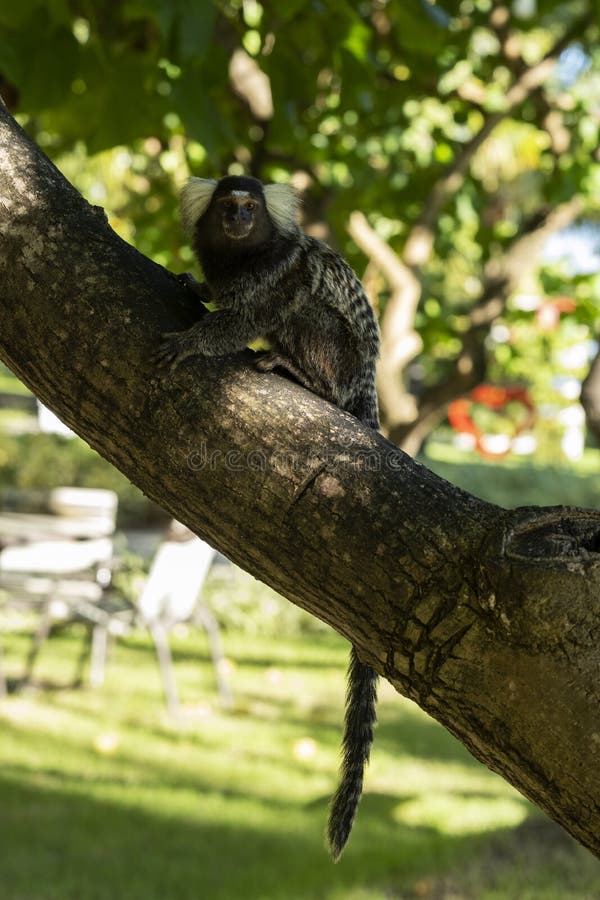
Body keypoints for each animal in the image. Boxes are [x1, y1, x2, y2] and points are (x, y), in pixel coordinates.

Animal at [155, 175, 380, 861]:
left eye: (249, 208)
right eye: (227, 206)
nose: (237, 218)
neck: (241, 257)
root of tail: (366, 385)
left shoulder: (278, 274)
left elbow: (252, 315)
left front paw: (196, 339)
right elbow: (213, 289)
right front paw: (194, 284)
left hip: (337, 354)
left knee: (303, 319)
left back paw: (297, 372)